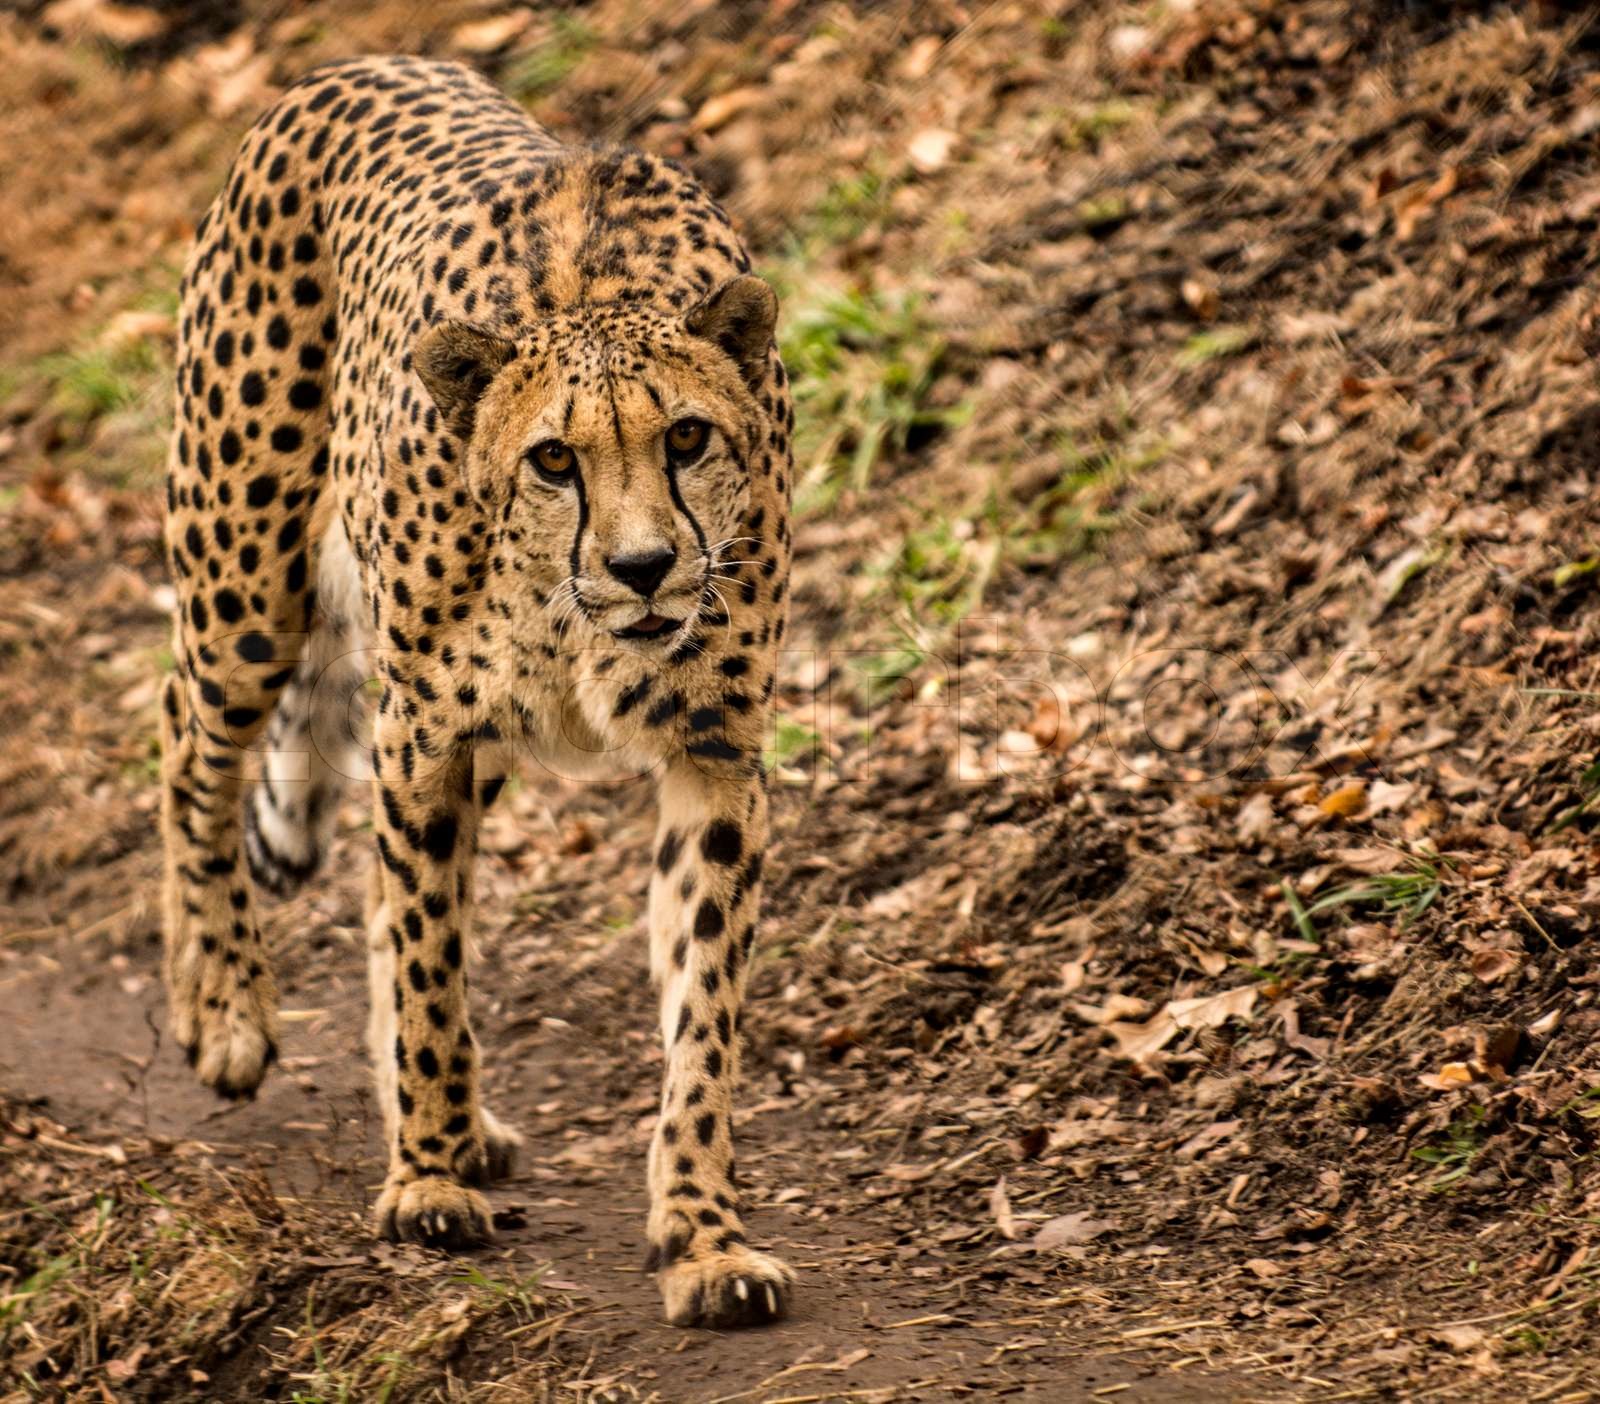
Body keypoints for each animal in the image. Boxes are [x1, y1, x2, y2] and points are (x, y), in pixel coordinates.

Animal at [157, 54, 795, 1329]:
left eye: (687, 438)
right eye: (554, 459)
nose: (644, 566)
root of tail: (353, 65)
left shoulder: (711, 754)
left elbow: (701, 1014)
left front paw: (704, 1235)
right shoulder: (426, 737)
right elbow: (430, 965)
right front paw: (429, 1178)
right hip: (244, 591)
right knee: (185, 752)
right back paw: (226, 1011)